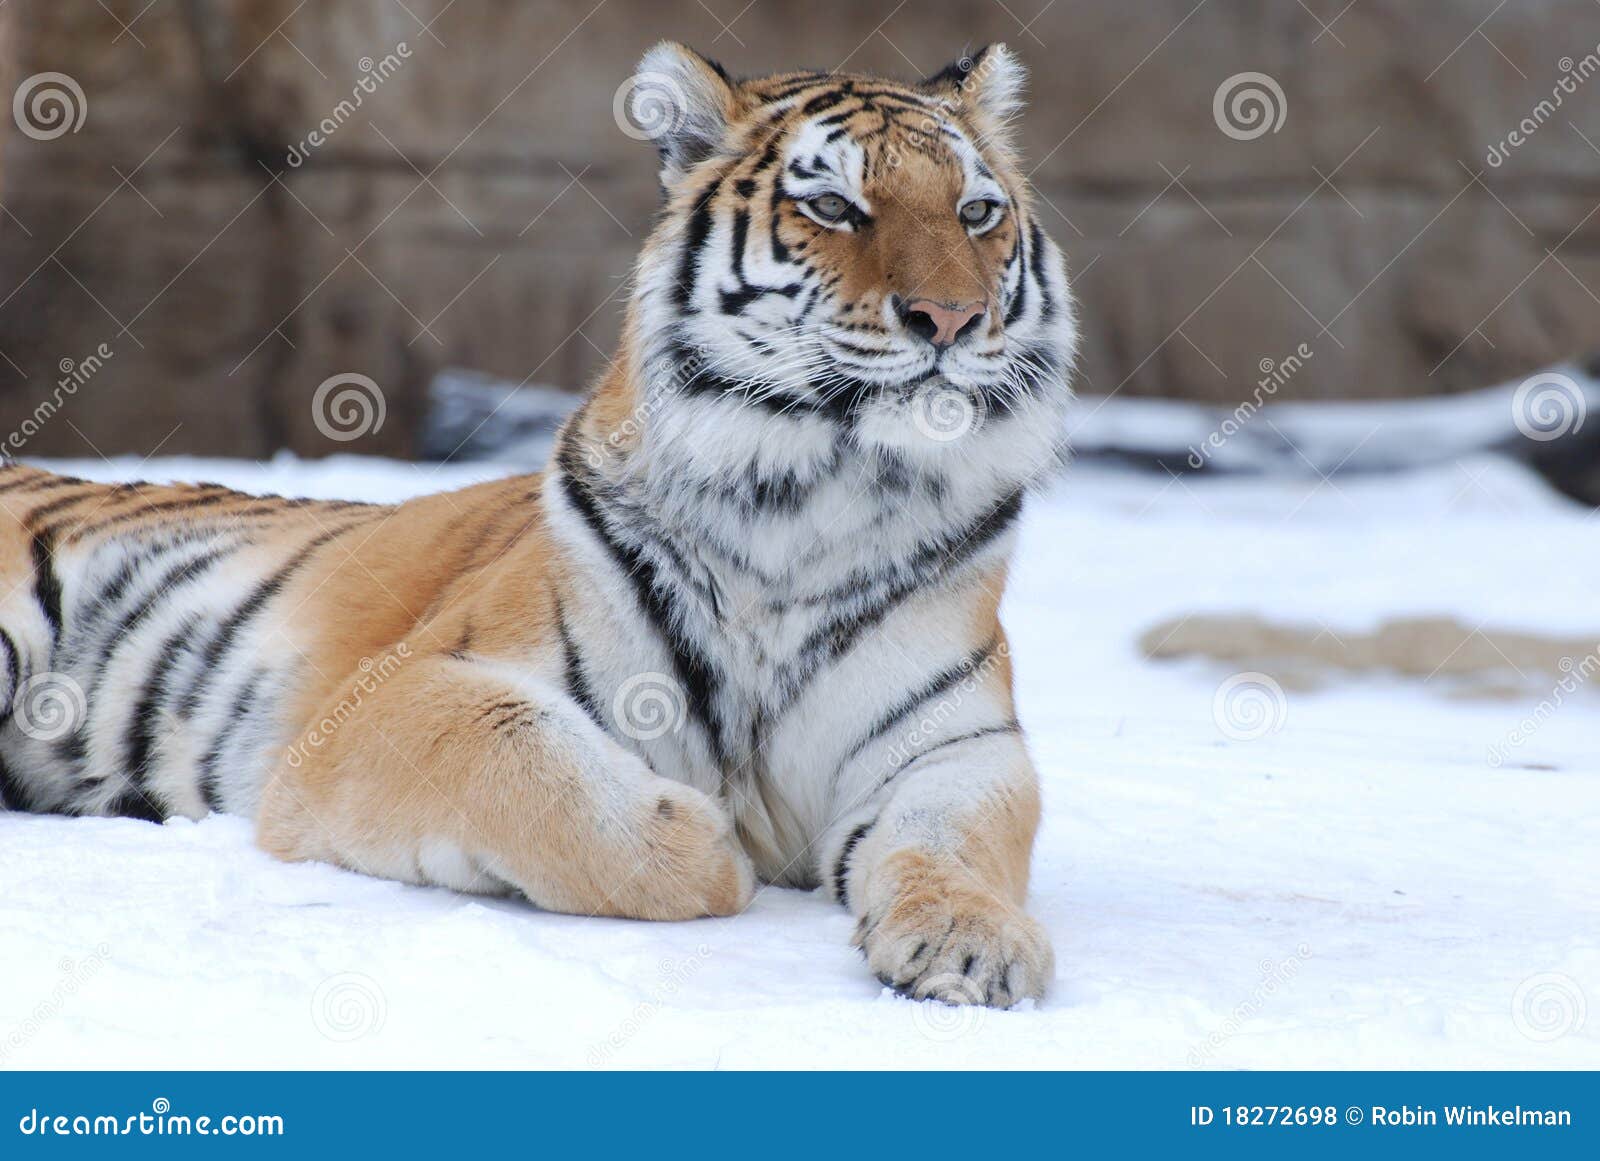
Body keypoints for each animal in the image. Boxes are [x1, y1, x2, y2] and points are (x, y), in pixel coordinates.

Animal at [0, 41, 1076, 1008]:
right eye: (833, 207)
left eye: (977, 213)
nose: (951, 317)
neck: (812, 501)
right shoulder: (399, 695)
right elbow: (546, 773)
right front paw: (714, 841)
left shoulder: (955, 744)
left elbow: (955, 840)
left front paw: (971, 943)